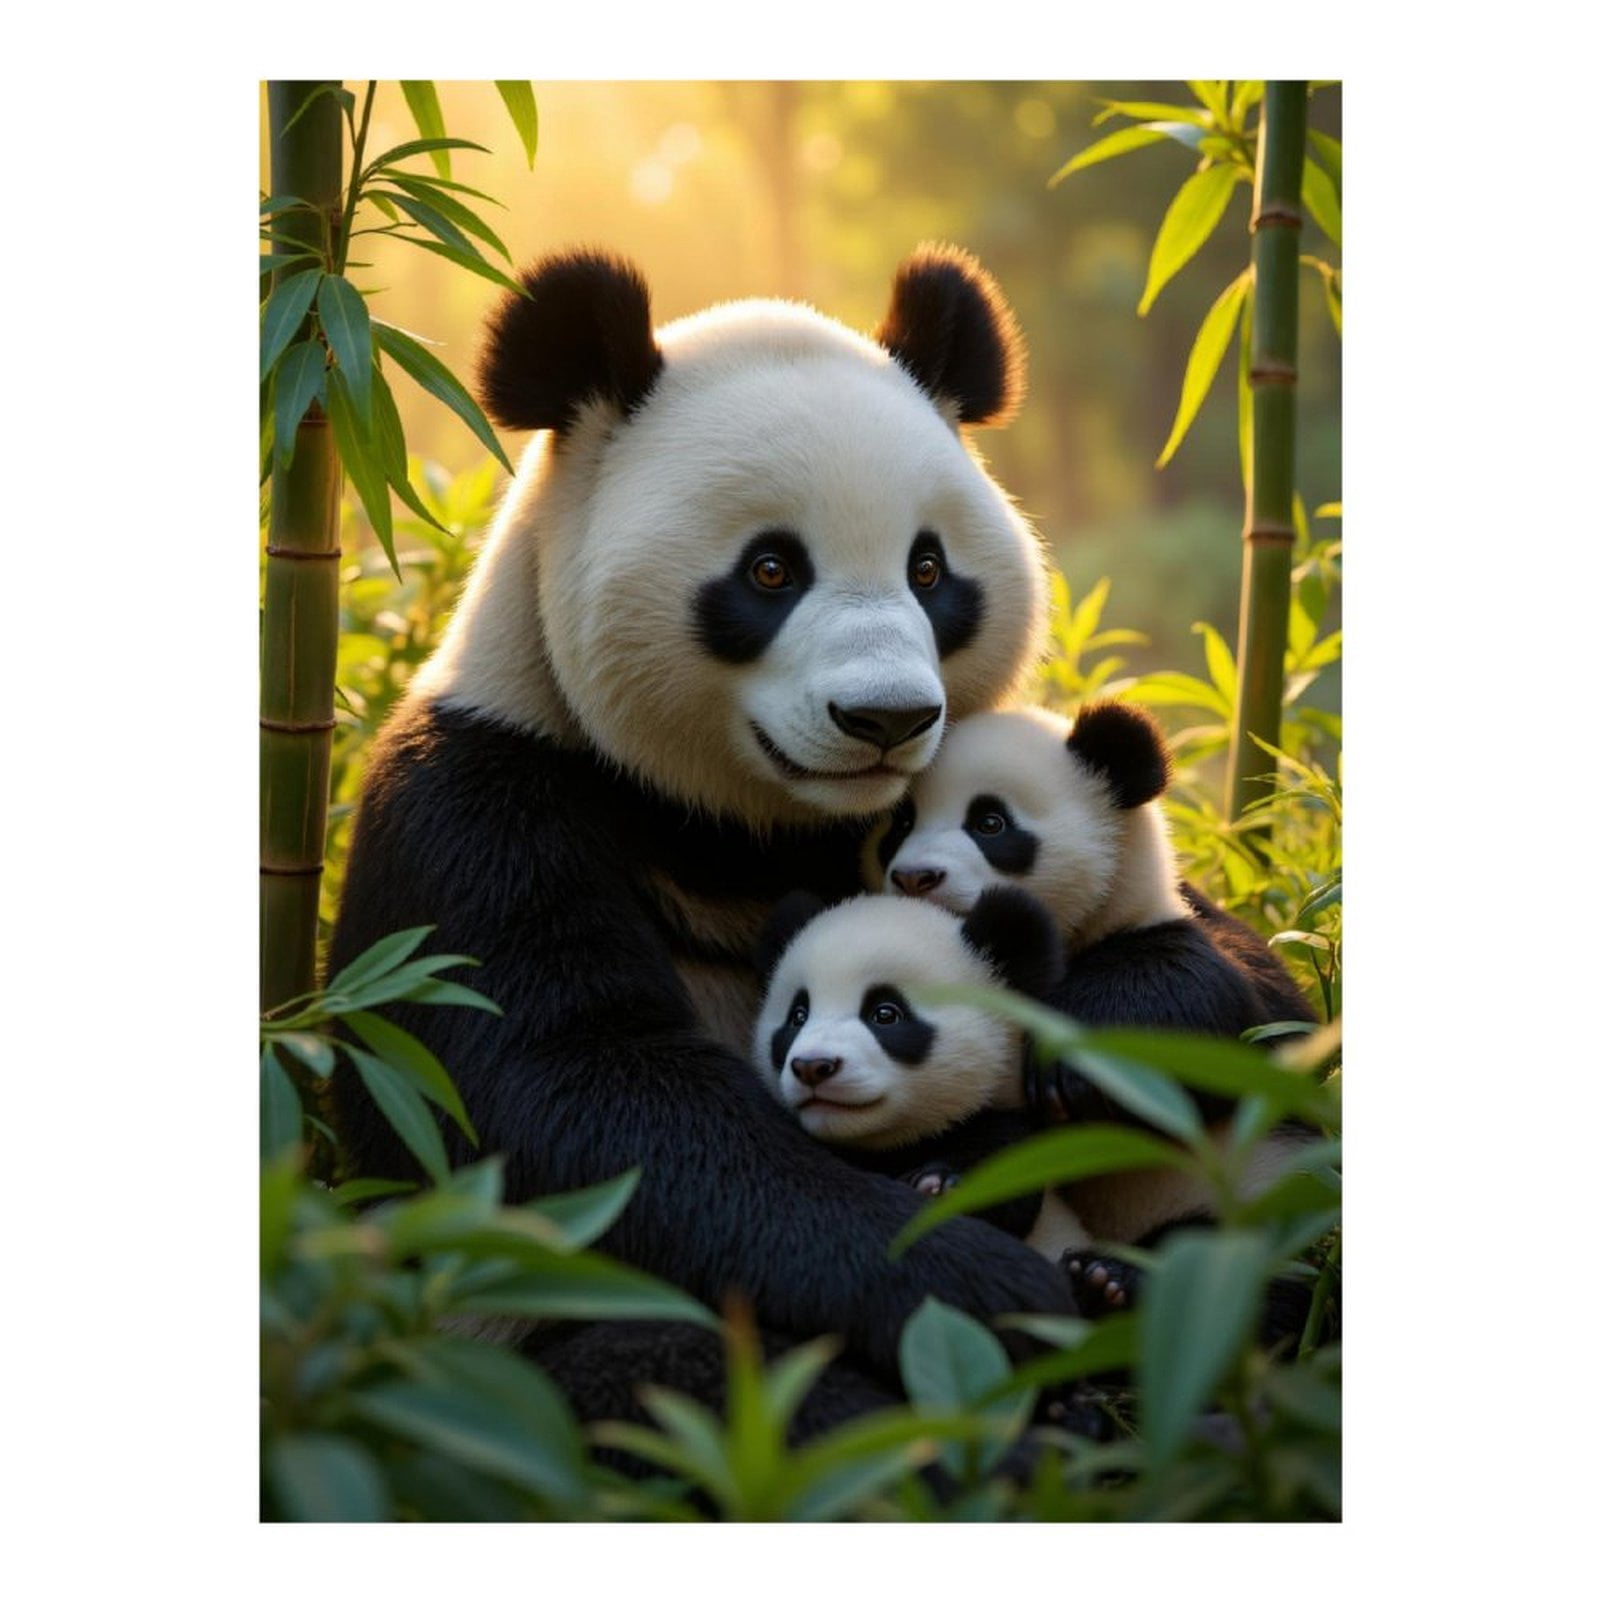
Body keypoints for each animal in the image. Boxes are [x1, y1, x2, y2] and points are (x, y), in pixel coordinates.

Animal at [752, 885, 1094, 1261]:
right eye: (798, 1016)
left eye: (885, 1014)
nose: (813, 1066)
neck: (889, 1145)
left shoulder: (1010, 1137)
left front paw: (939, 1185)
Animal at [866, 700, 1326, 1329]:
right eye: (900, 824)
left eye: (991, 823)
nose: (915, 877)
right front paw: (944, 1179)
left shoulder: (1168, 938)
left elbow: (1190, 993)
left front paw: (1070, 1076)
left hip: (1262, 1191)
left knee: (1243, 1263)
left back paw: (1115, 1279)